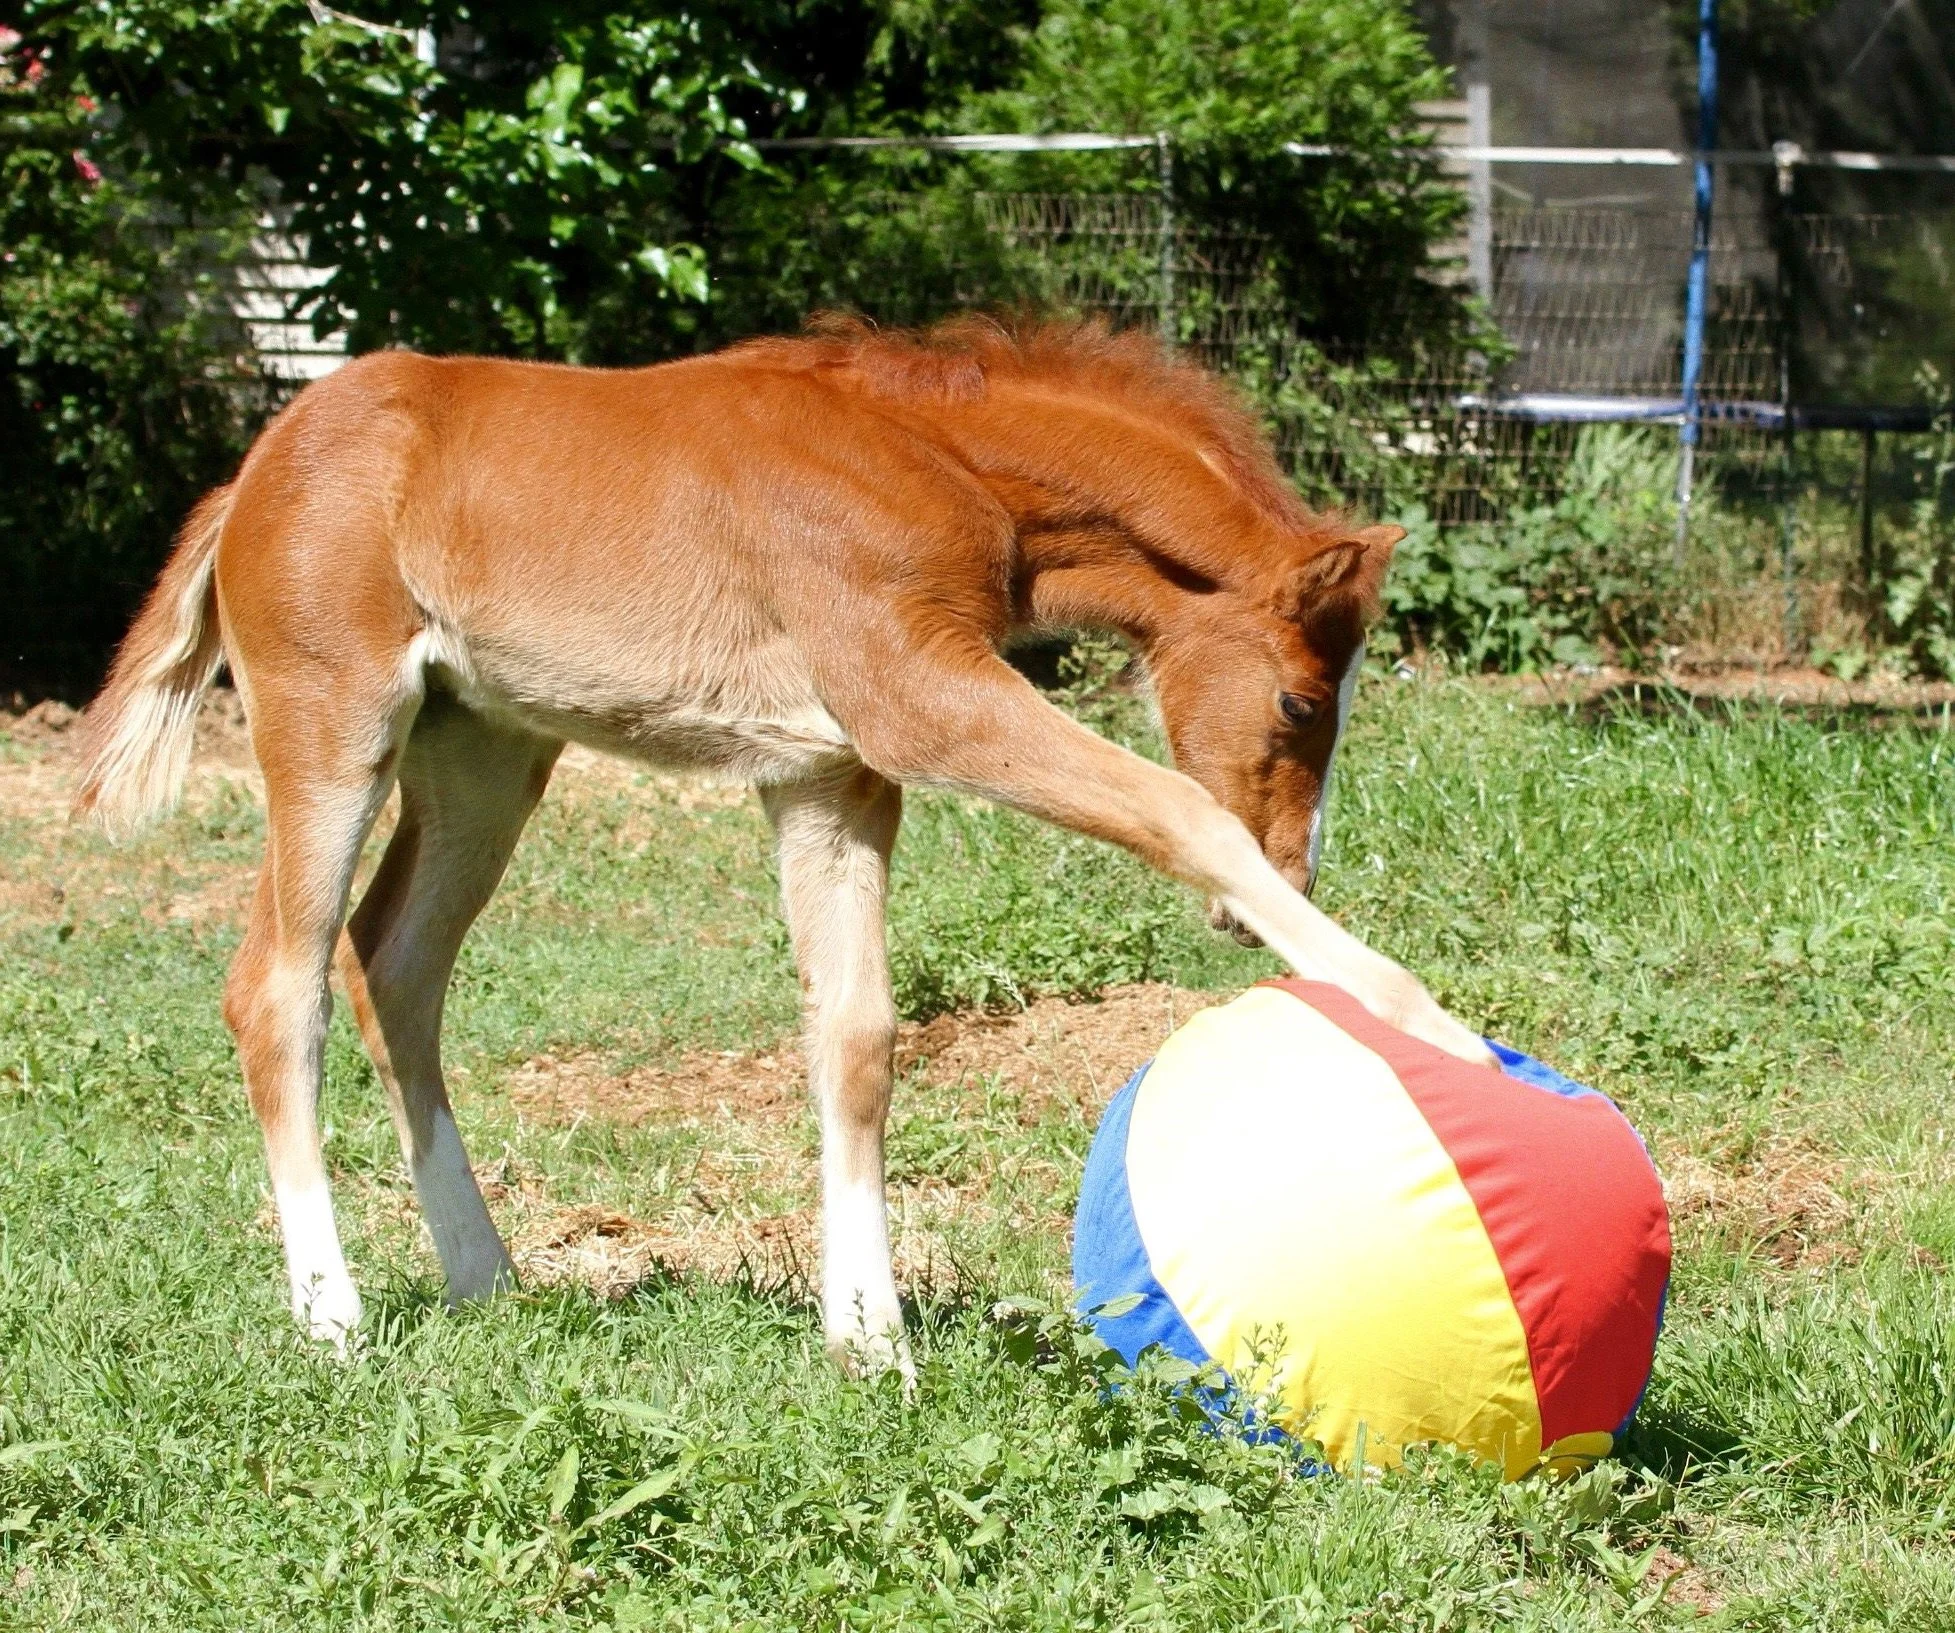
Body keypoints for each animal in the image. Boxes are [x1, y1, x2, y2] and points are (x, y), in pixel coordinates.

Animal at [75, 315, 1492, 1377]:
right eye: (1301, 703)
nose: (1287, 876)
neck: (934, 455)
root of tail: (255, 469)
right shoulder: (914, 699)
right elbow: (1174, 810)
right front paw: (1426, 1024)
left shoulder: (830, 773)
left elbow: (856, 1035)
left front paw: (866, 1335)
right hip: (332, 720)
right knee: (279, 985)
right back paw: (332, 1314)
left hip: (481, 753)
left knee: (395, 969)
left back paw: (486, 1278)